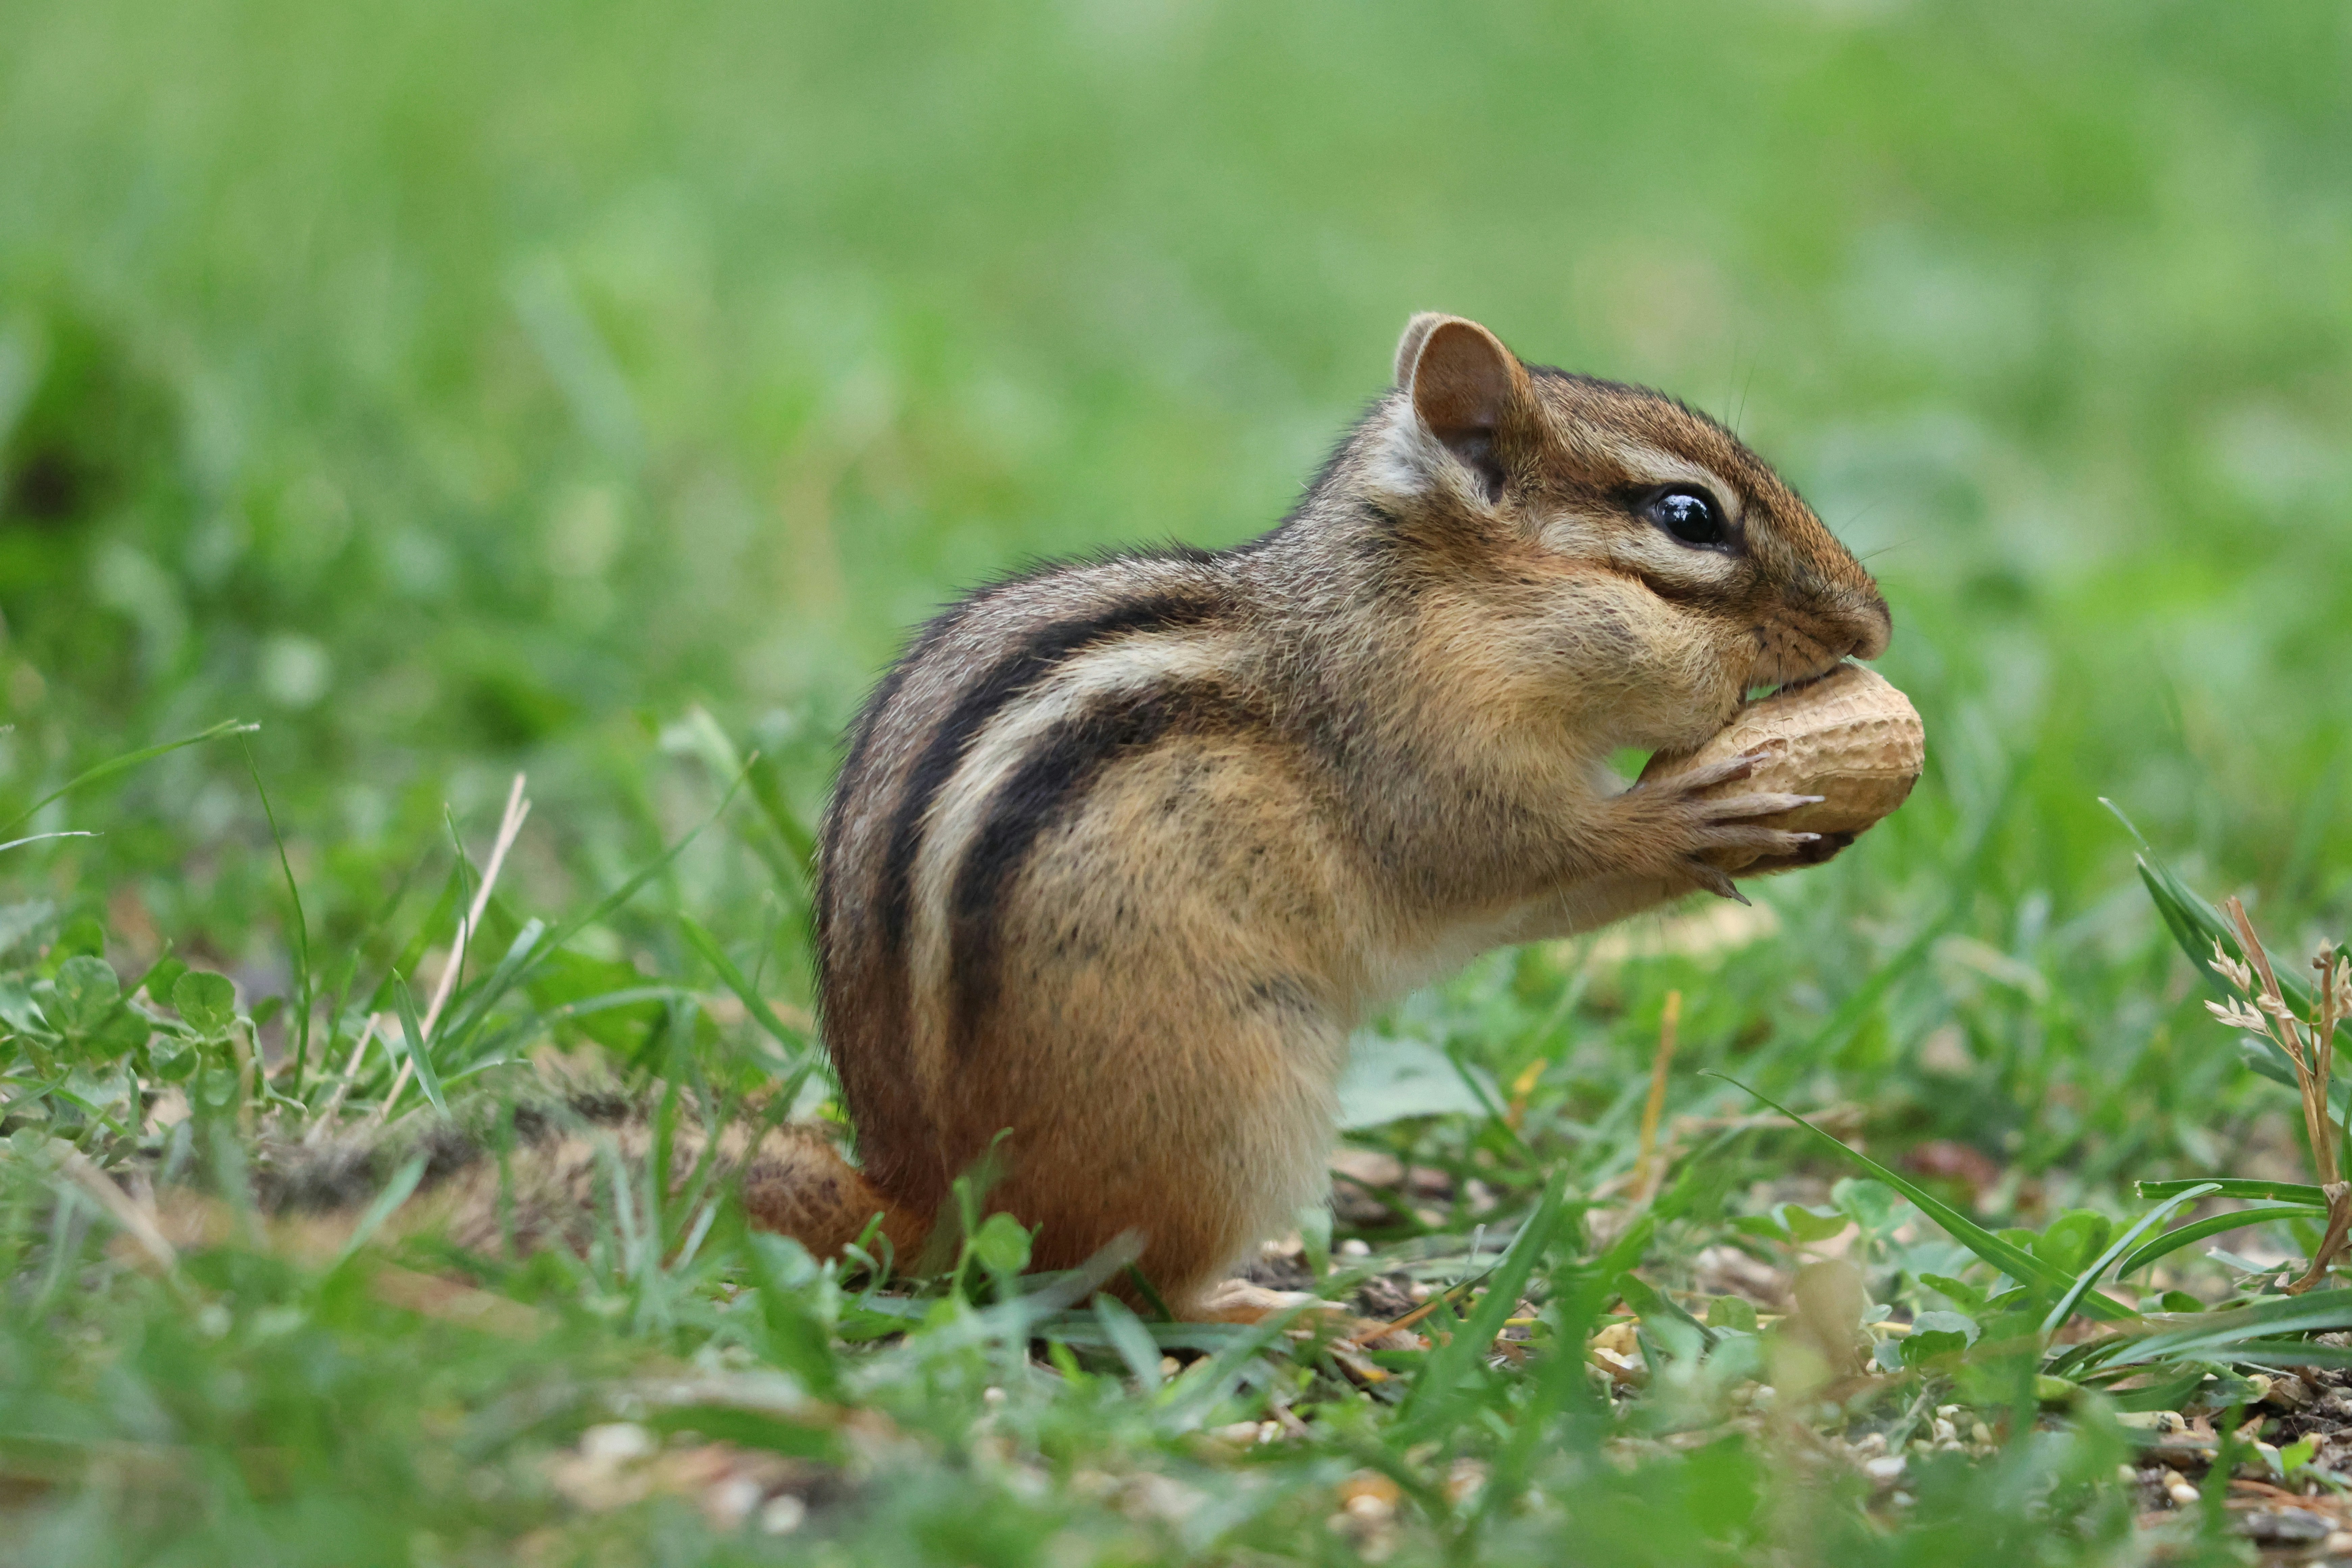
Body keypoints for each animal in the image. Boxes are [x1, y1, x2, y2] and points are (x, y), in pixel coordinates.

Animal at [252, 313, 1890, 1317]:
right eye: (1686, 520)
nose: (1874, 621)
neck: (1419, 608)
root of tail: (923, 1199)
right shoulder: (1420, 769)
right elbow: (1520, 862)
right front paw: (1699, 814)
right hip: (1236, 1099)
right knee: (1121, 1287)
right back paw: (1273, 1303)